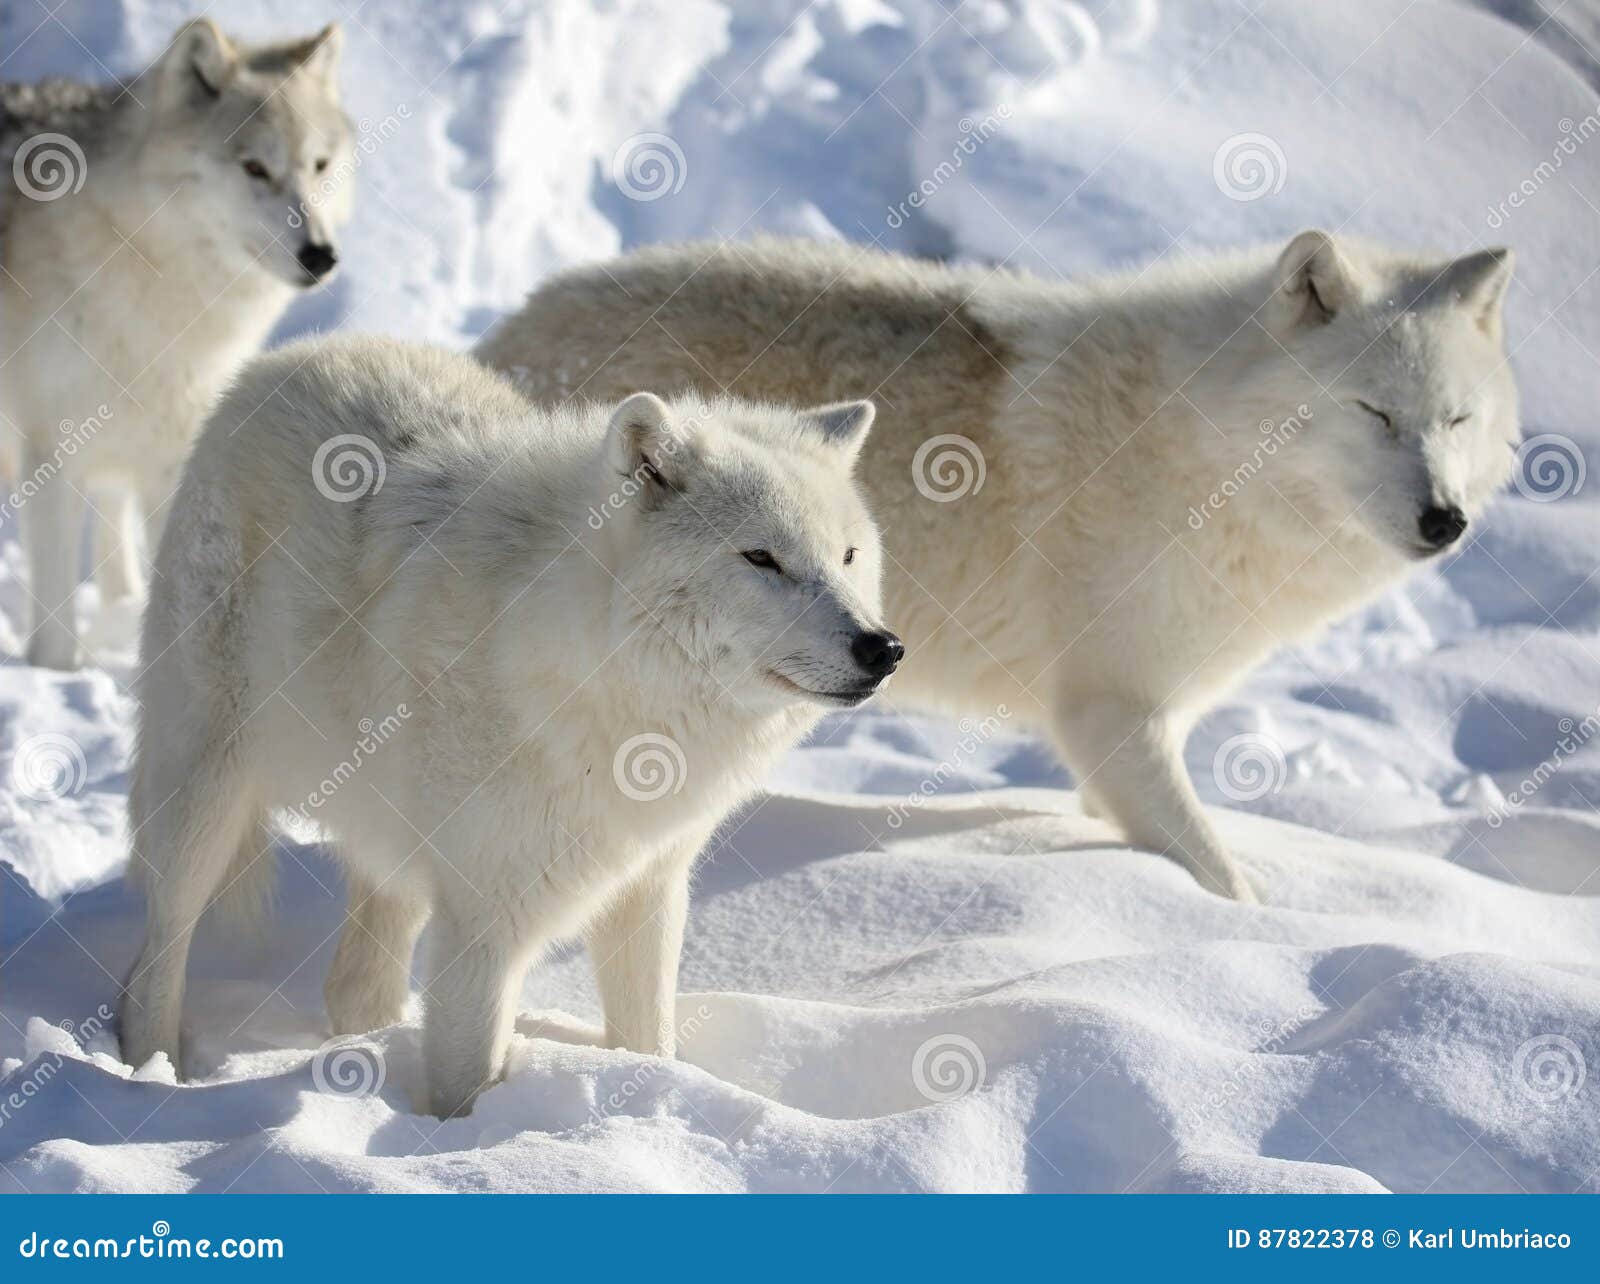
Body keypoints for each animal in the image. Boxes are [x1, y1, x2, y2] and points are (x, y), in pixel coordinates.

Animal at [1, 17, 354, 669]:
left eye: (319, 165)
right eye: (254, 168)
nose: (320, 255)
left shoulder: (175, 453)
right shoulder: (51, 454)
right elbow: (55, 628)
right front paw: (56, 675)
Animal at [118, 335, 899, 1118]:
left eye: (848, 556)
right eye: (760, 557)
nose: (883, 648)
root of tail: (291, 355)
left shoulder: (648, 887)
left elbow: (649, 1041)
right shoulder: (485, 916)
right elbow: (467, 1076)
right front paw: (463, 1137)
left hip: (387, 842)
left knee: (354, 986)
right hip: (203, 799)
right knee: (154, 958)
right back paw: (146, 1076)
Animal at [478, 232, 1520, 901]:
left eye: (1456, 420)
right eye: (1372, 413)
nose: (1445, 520)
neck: (1206, 460)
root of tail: (509, 331)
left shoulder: (1137, 732)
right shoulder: (1112, 715)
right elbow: (1223, 882)